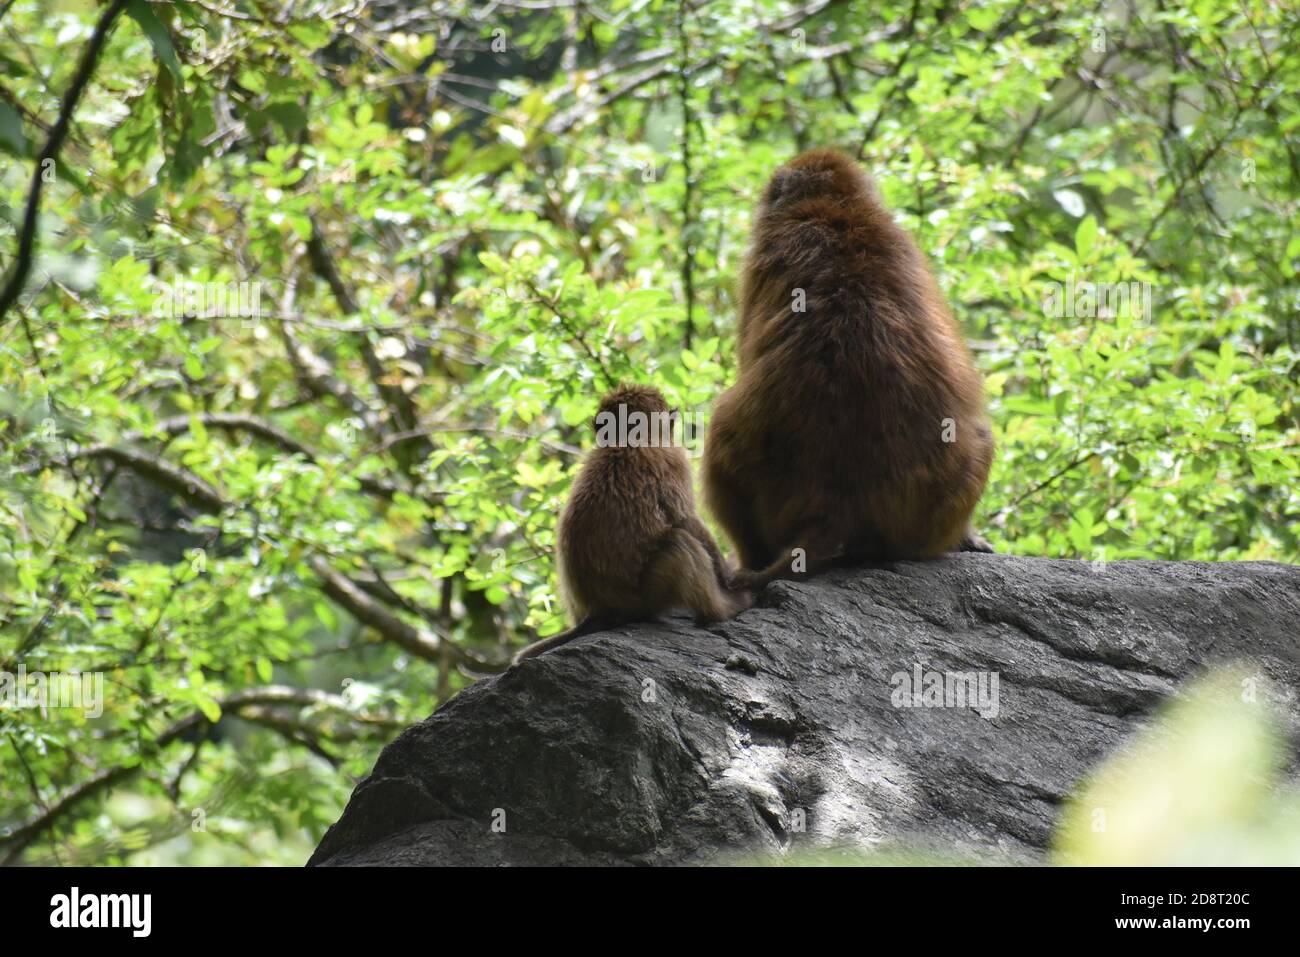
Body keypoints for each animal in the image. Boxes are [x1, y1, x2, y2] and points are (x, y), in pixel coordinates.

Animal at [514, 384, 752, 663]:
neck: (627, 441)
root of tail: (601, 611)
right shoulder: (673, 460)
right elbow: (685, 519)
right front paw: (728, 577)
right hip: (647, 597)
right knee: (679, 543)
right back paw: (720, 610)